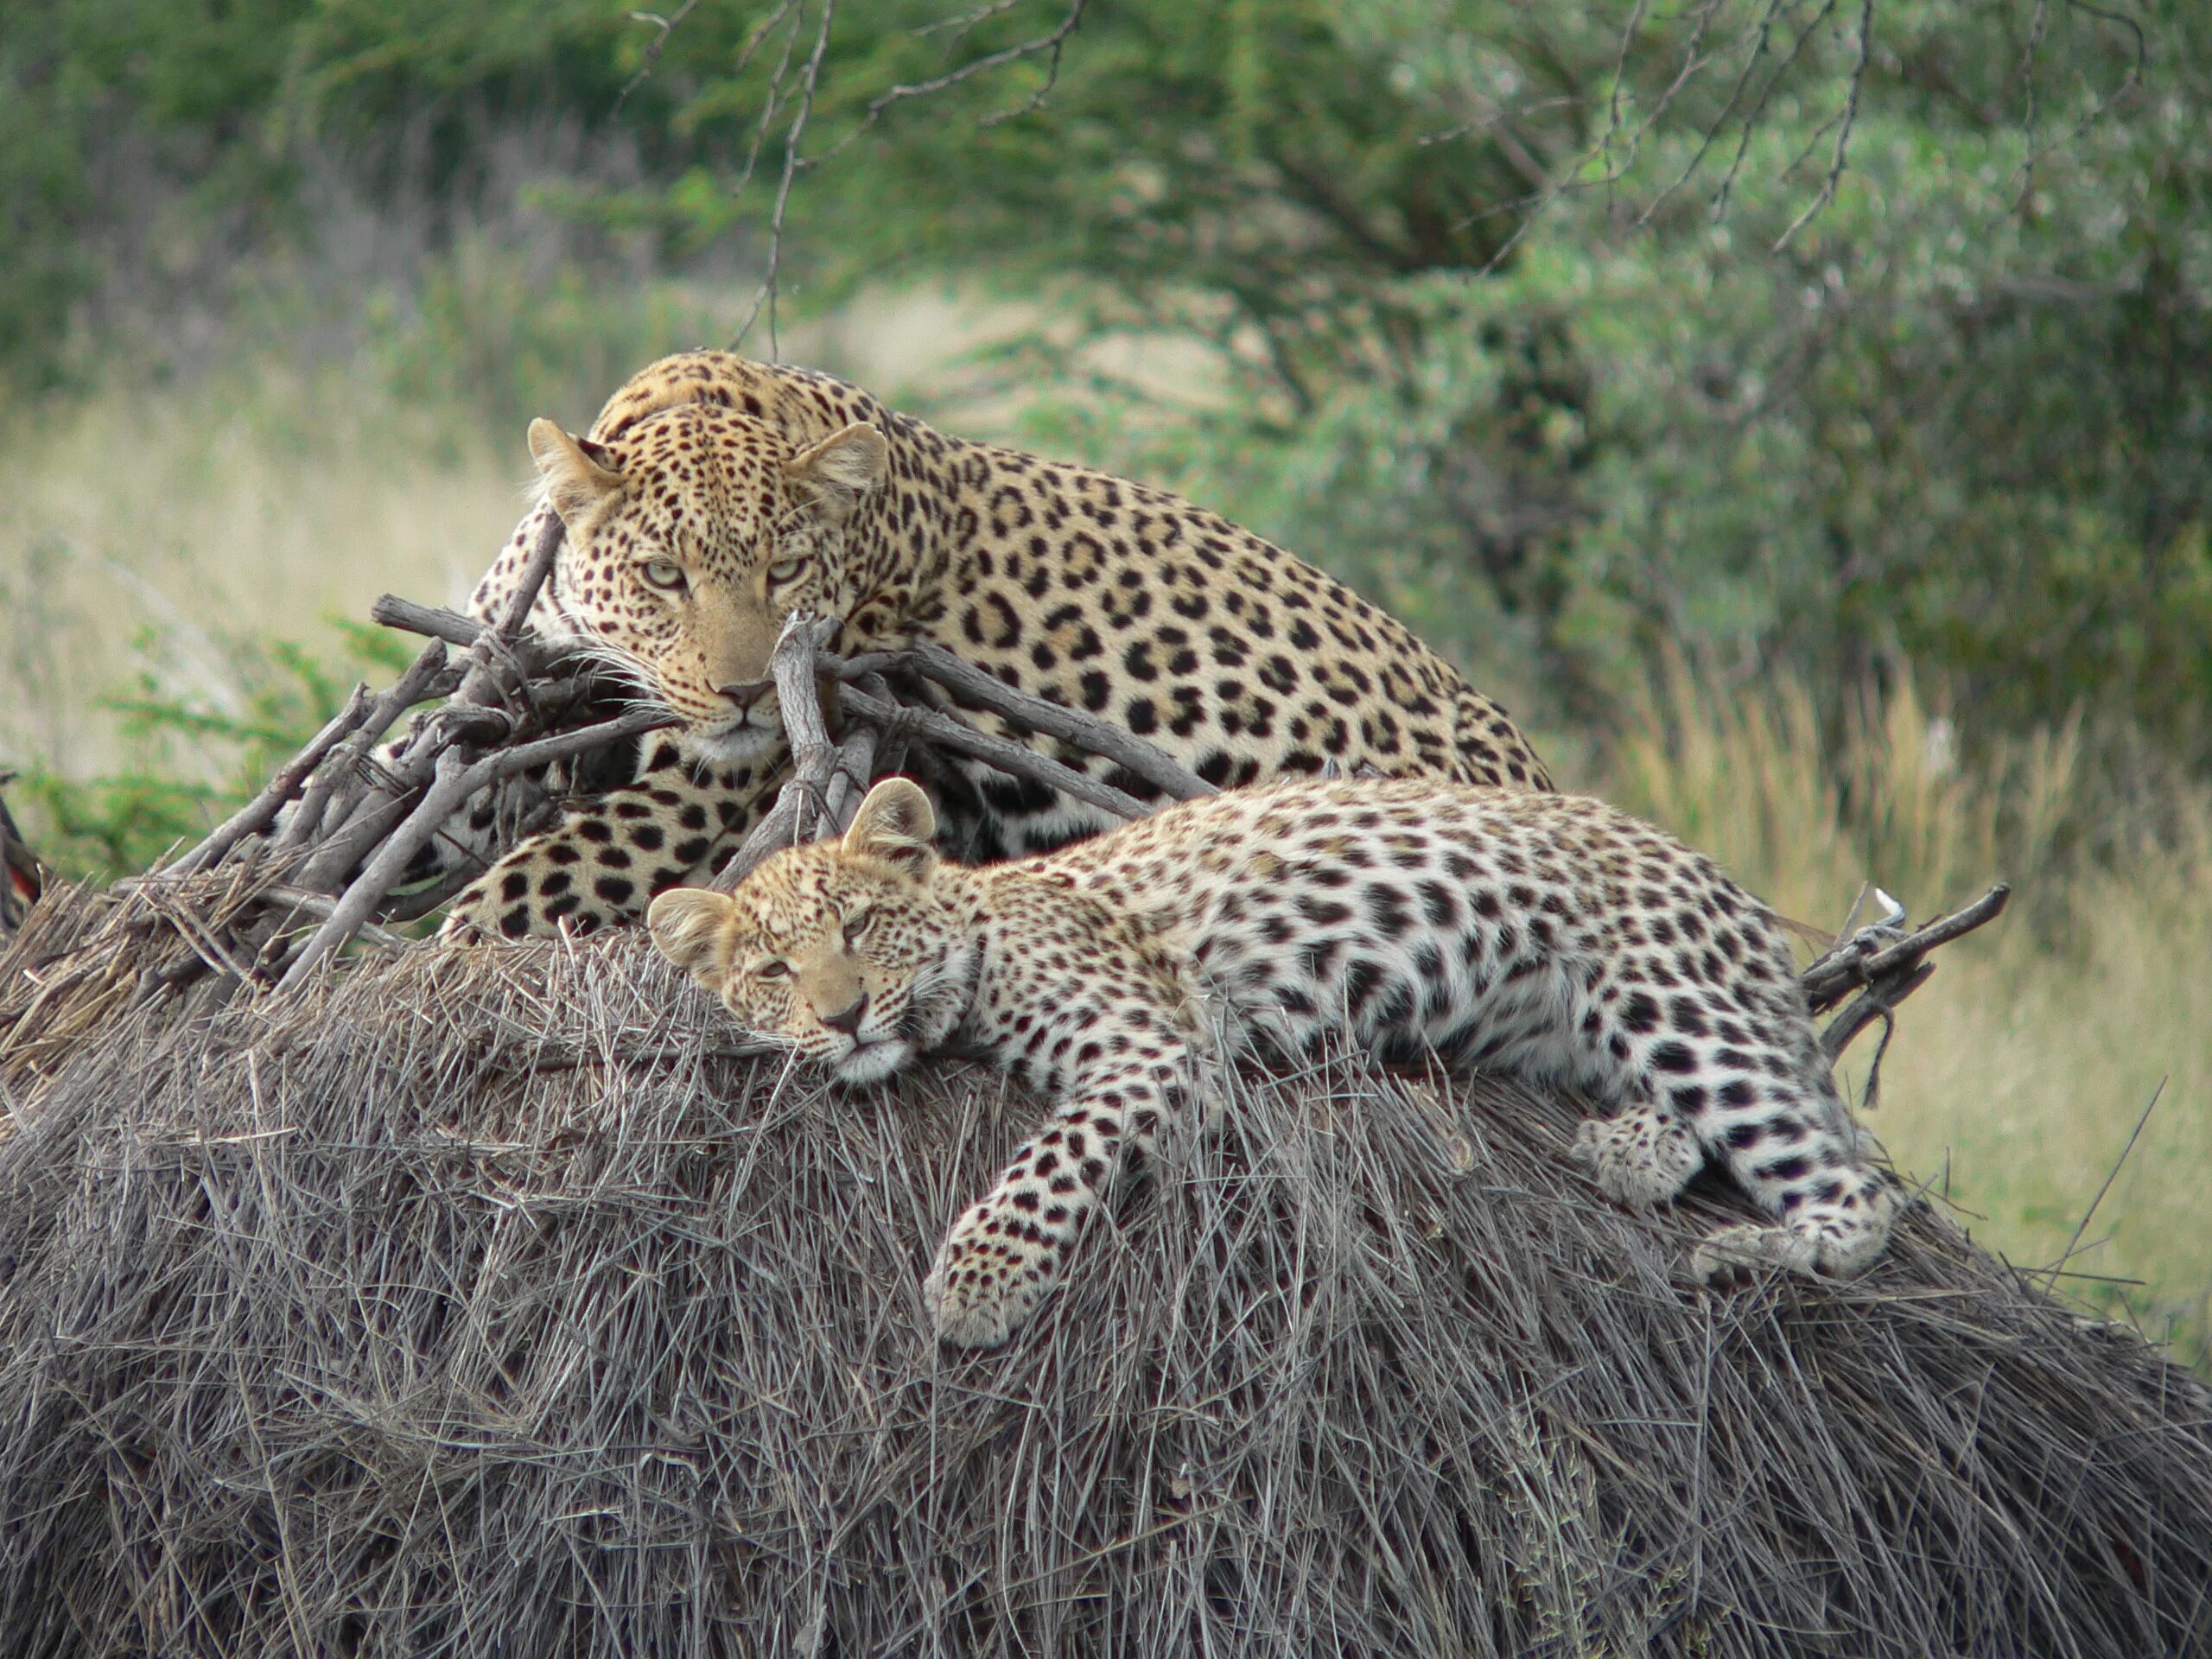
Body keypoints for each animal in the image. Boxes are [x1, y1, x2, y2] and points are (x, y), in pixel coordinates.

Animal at [444, 352, 1557, 942]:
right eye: (662, 575)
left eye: (786, 572)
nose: (751, 692)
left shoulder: (727, 784)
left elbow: (535, 883)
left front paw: (454, 948)